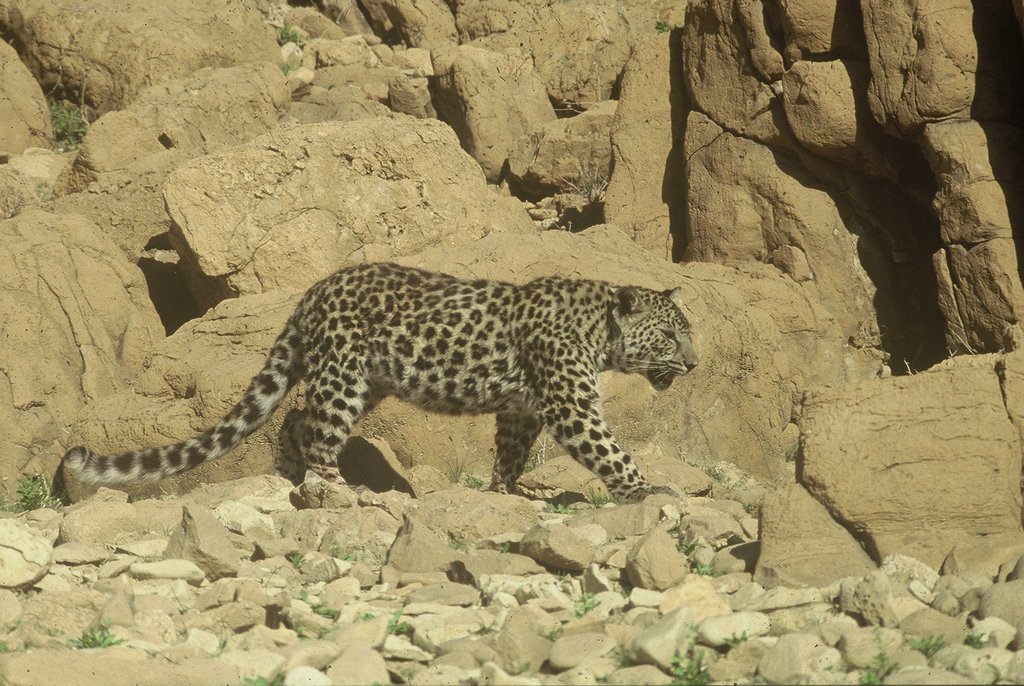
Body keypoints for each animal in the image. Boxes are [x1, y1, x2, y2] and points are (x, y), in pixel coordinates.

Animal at [63, 262, 698, 502]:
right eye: (672, 336)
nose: (693, 365)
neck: (600, 331)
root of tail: (312, 292)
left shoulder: (522, 409)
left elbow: (511, 453)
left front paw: (505, 492)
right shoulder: (570, 404)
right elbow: (609, 449)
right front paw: (648, 491)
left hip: (366, 383)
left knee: (296, 419)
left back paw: (291, 475)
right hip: (344, 377)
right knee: (318, 430)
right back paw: (334, 489)